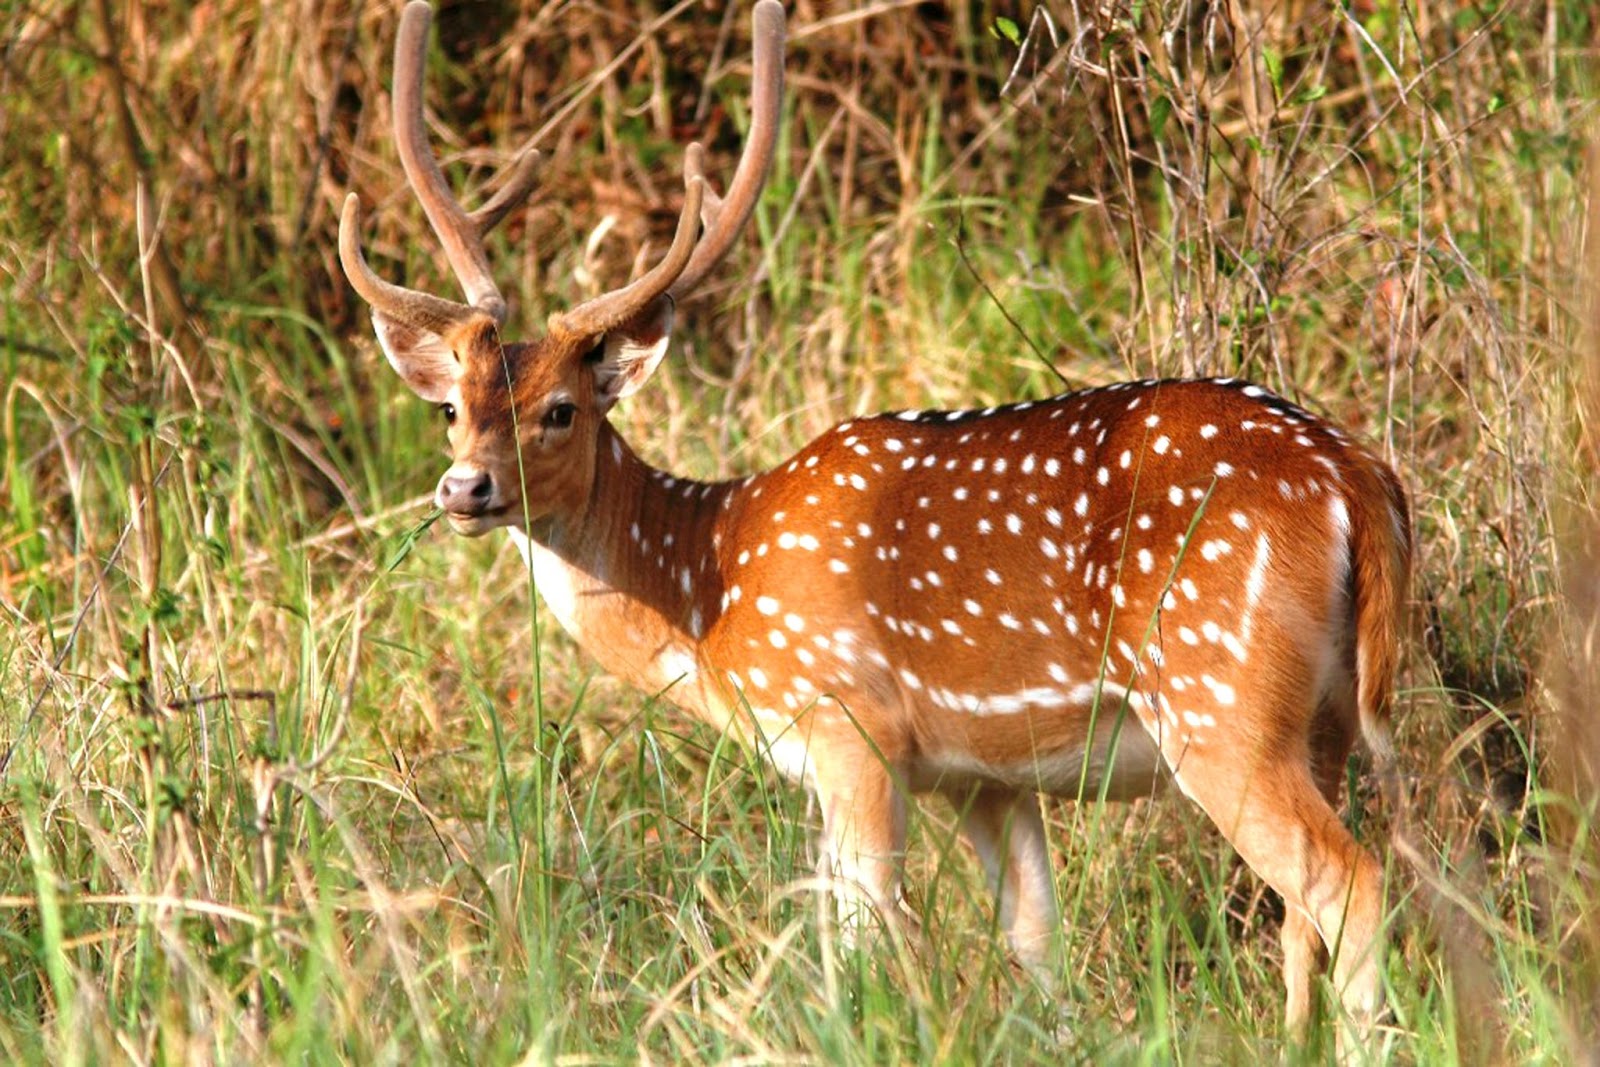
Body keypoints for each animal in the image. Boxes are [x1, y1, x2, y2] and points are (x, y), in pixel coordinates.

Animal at [337, 0, 1409, 1037]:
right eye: (451, 407)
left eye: (562, 409)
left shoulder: (848, 720)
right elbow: (1038, 946)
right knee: (1303, 914)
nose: (465, 489)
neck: (711, 586)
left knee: (1349, 882)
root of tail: (1356, 478)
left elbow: (856, 944)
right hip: (1320, 717)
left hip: (1216, 696)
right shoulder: (984, 776)